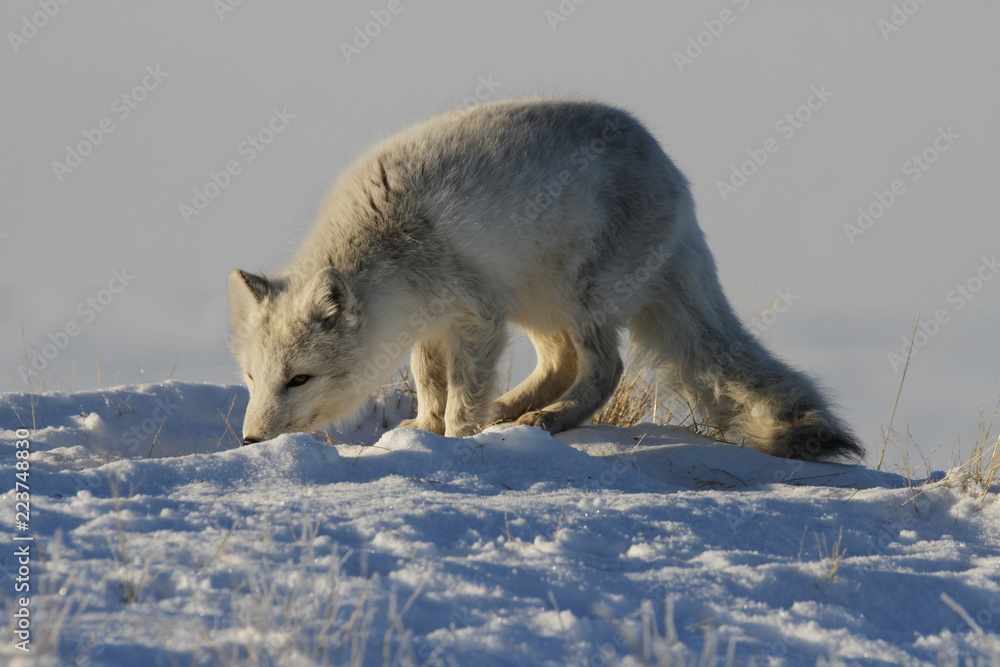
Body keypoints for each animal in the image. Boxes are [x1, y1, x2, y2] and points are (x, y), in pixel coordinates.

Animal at [228, 97, 864, 462]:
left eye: (300, 379)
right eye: (253, 377)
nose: (251, 442)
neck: (390, 241)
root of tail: (675, 180)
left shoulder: (477, 316)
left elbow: (462, 393)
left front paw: (456, 440)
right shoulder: (430, 325)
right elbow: (430, 384)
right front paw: (423, 431)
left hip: (580, 300)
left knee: (606, 370)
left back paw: (543, 420)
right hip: (539, 307)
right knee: (560, 366)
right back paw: (513, 413)